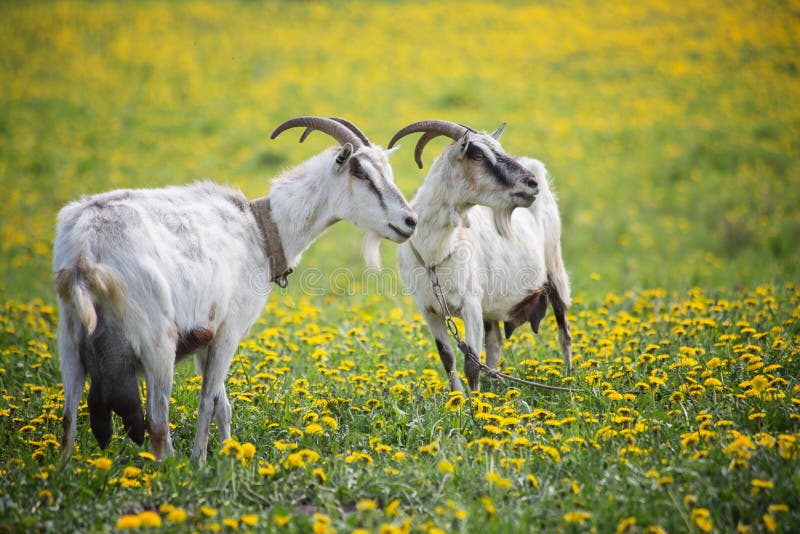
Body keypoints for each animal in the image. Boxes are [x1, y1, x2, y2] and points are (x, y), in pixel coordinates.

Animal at [54, 116, 417, 463]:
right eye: (360, 172)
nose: (409, 221)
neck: (260, 228)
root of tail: (86, 250)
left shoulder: (207, 338)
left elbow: (222, 405)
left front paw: (229, 455)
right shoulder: (228, 331)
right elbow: (207, 402)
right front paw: (201, 462)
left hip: (70, 340)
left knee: (68, 423)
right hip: (158, 343)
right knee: (157, 425)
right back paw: (174, 471)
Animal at [366, 119, 571, 392]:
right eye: (478, 154)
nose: (532, 183)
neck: (434, 254)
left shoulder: (470, 304)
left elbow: (471, 362)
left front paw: (475, 402)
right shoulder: (429, 309)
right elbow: (447, 358)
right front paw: (459, 398)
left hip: (554, 267)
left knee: (563, 330)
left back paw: (569, 377)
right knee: (495, 341)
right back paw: (494, 384)